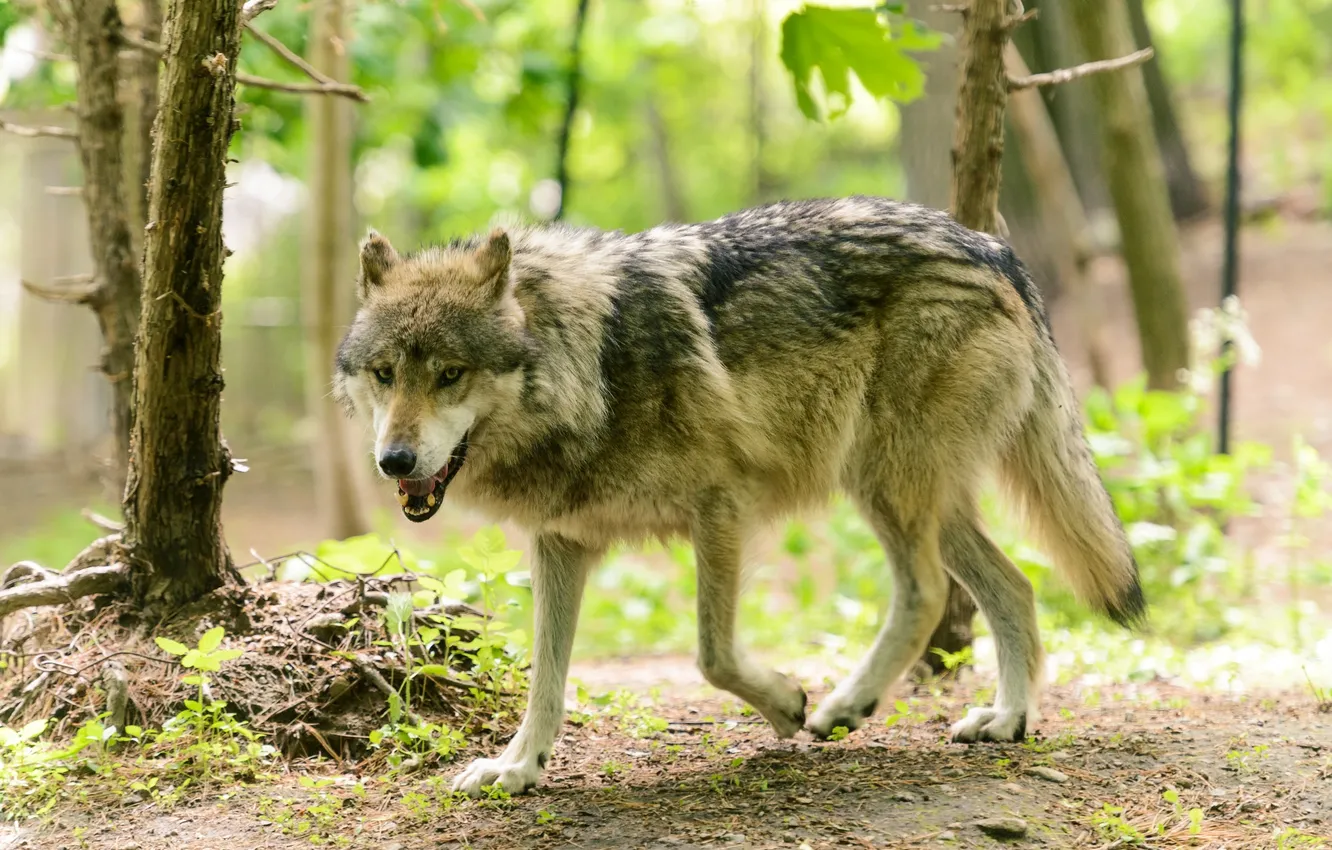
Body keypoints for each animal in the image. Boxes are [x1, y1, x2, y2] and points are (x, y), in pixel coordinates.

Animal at [333, 196, 1144, 797]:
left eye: (450, 374)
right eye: (384, 374)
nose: (393, 461)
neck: (590, 364)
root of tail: (993, 248)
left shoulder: (721, 507)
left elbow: (712, 656)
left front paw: (787, 703)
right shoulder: (562, 541)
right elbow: (548, 677)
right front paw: (517, 768)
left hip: (884, 484)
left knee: (926, 594)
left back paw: (846, 705)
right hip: (918, 497)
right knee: (1015, 587)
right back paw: (1006, 720)